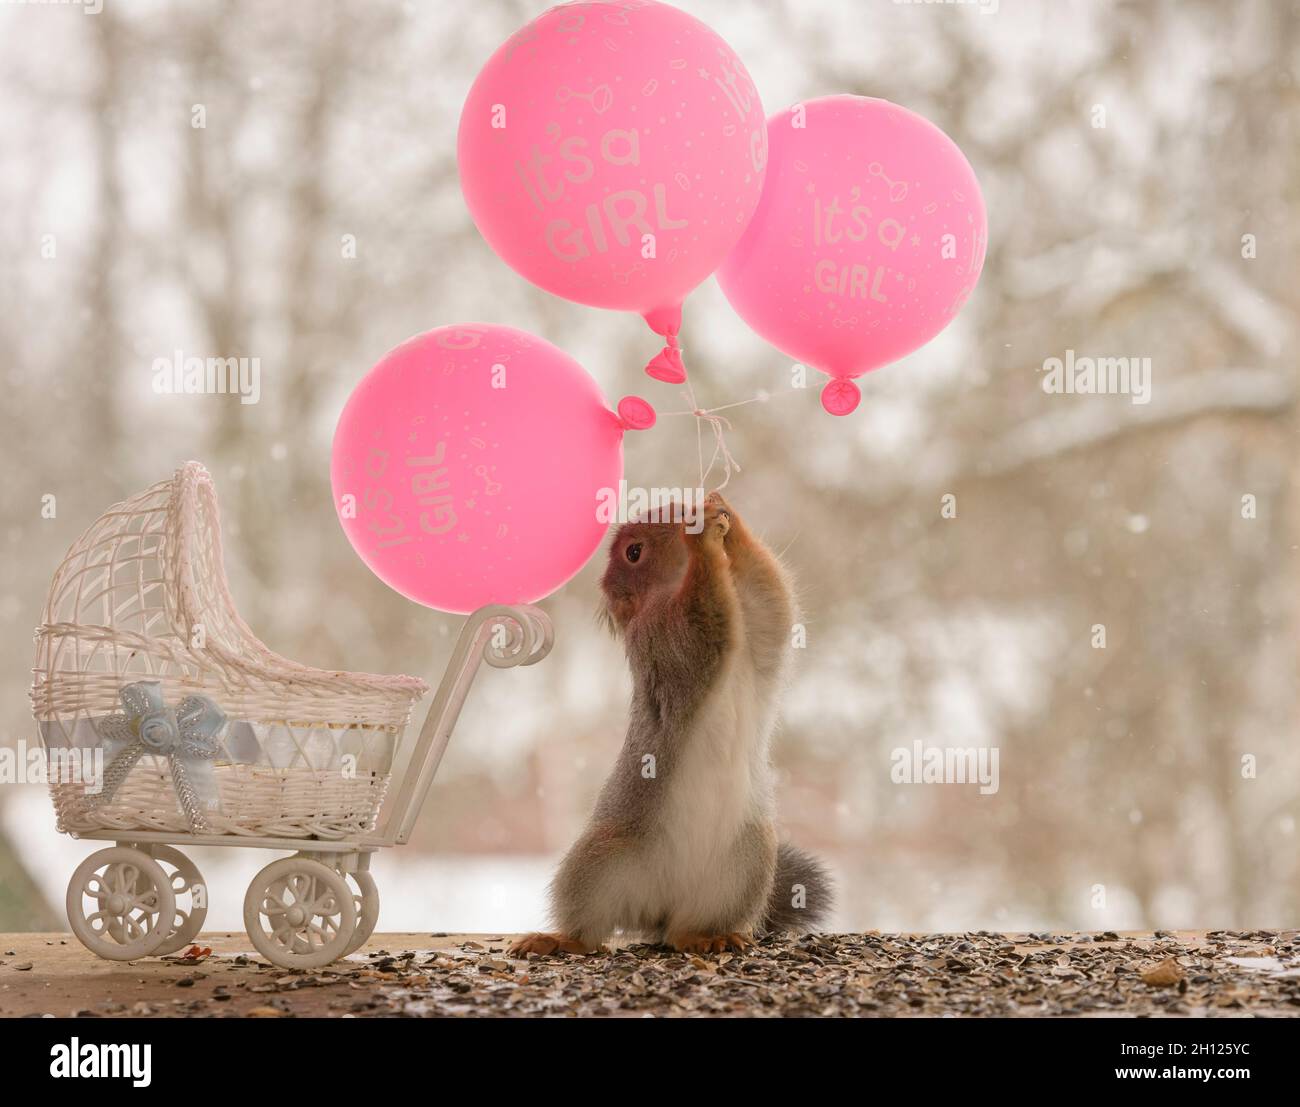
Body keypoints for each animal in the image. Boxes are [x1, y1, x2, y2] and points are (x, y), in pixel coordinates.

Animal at [509, 491, 831, 956]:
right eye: (634, 553)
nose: (680, 508)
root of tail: (656, 912)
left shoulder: (756, 629)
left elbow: (771, 600)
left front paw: (727, 515)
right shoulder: (665, 634)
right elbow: (702, 623)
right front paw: (702, 540)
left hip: (744, 865)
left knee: (685, 930)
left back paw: (710, 936)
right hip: (601, 861)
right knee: (590, 927)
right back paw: (560, 939)